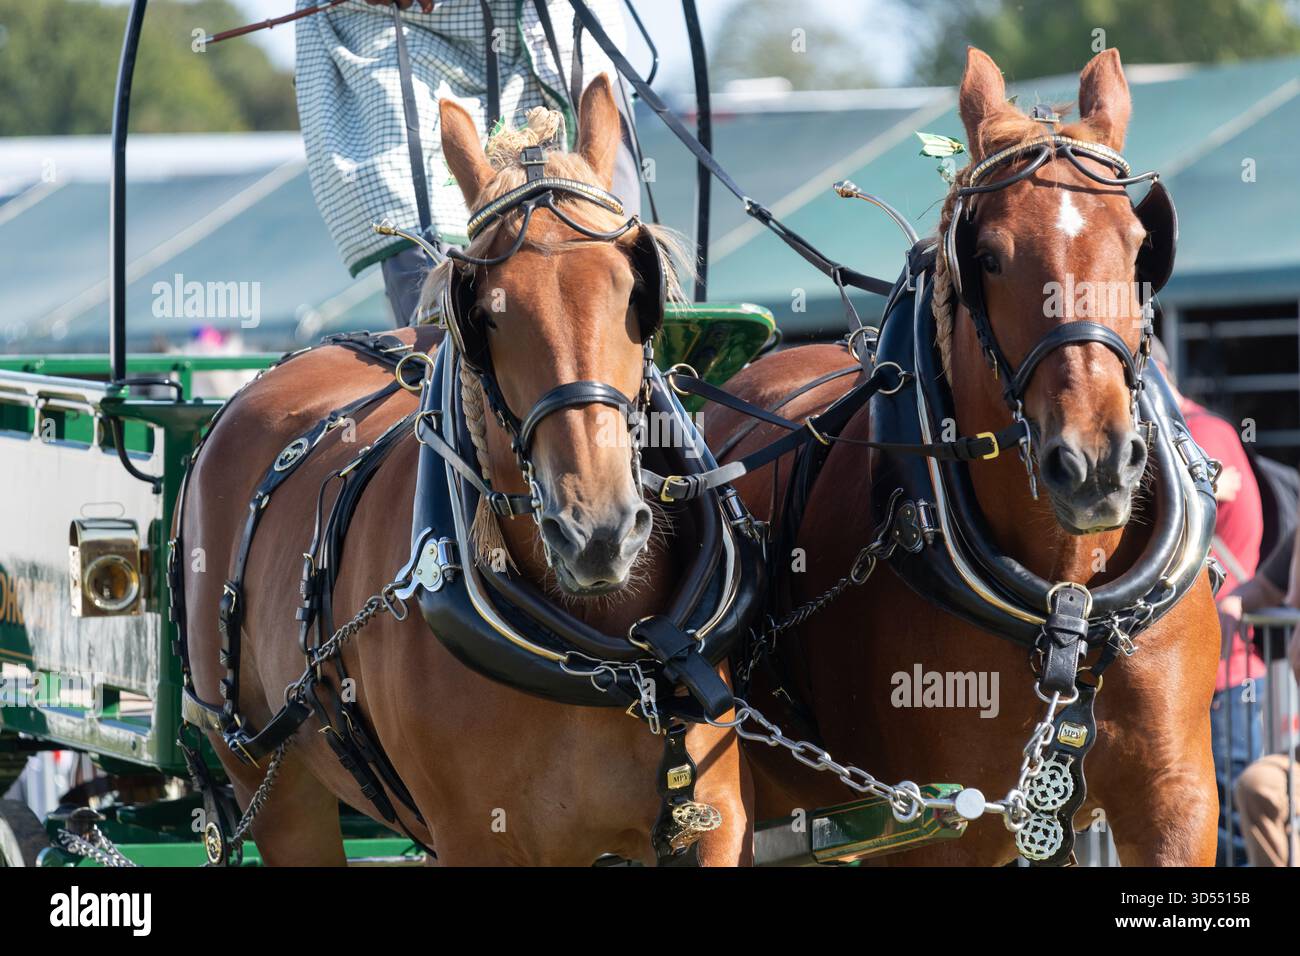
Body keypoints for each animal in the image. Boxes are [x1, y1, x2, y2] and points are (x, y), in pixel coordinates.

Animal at [177, 75, 751, 866]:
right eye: (485, 311)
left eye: (634, 290)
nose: (598, 532)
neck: (616, 656)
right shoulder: (477, 838)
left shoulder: (715, 821)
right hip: (273, 786)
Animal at [709, 48, 1221, 865]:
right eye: (988, 256)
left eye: (1142, 246)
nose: (1097, 463)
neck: (1066, 605)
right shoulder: (935, 821)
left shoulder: (1177, 798)